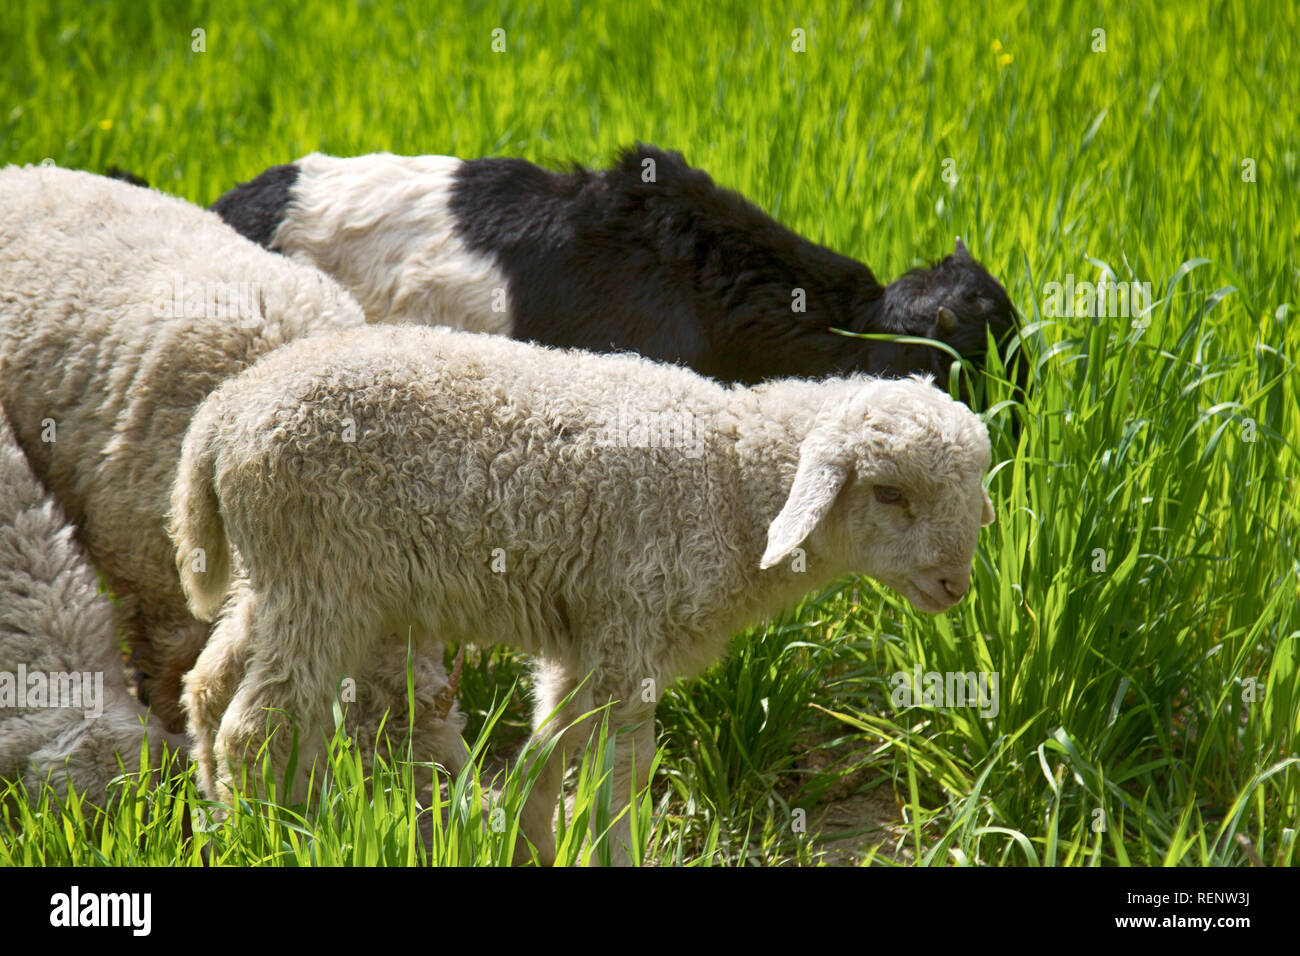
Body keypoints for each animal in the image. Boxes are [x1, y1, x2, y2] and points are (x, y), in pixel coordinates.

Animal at [170, 322, 996, 864]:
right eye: (889, 493)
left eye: (971, 488)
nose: (953, 585)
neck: (732, 481)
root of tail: (224, 414)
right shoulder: (629, 628)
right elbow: (619, 775)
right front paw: (604, 850)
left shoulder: (590, 639)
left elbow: (551, 744)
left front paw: (526, 836)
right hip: (324, 577)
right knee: (258, 723)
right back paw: (270, 833)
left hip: (279, 578)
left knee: (209, 684)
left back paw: (221, 814)